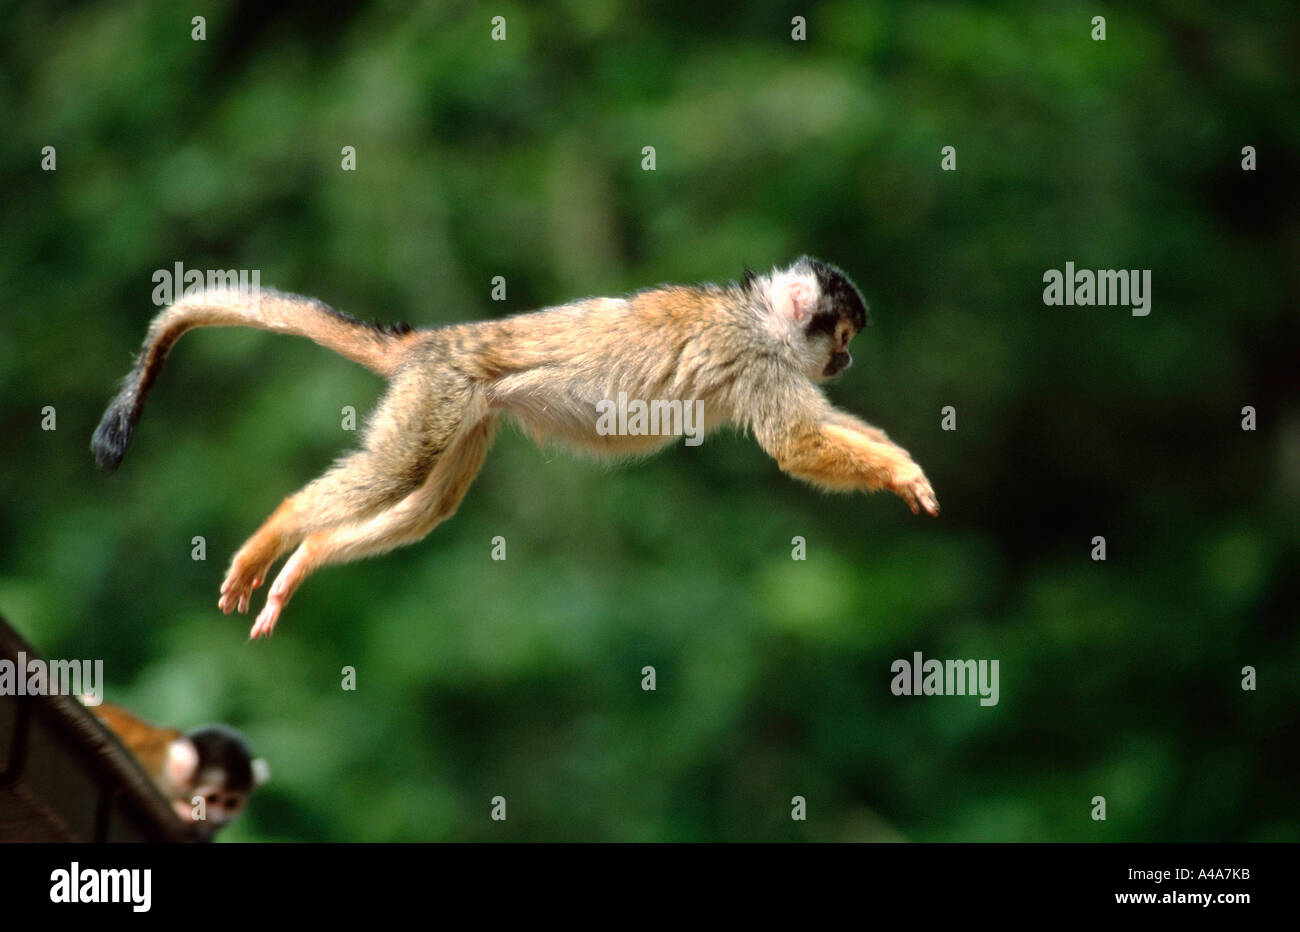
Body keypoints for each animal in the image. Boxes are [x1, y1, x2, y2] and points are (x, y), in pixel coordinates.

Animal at [92, 256, 938, 639]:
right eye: (842, 334)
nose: (847, 360)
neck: (761, 317)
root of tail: (436, 341)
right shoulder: (759, 356)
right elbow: (795, 444)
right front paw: (903, 471)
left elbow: (820, 430)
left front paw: (901, 466)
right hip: (440, 392)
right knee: (395, 471)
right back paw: (274, 535)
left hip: (463, 413)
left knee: (426, 504)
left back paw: (308, 557)